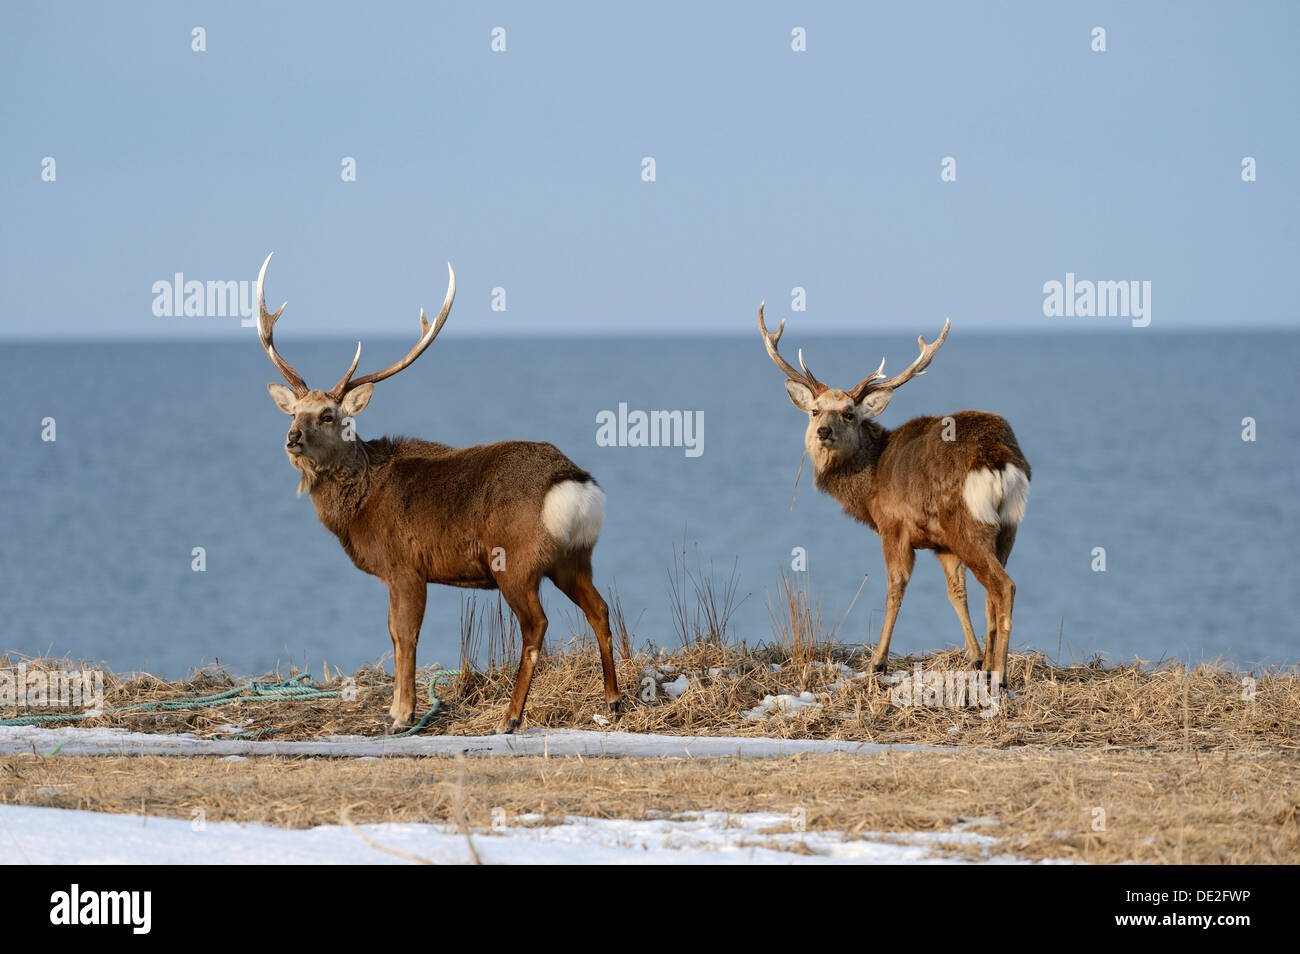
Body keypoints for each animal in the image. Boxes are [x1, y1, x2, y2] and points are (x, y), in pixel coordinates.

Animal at [256, 253, 622, 734]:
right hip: (572, 558)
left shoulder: (406, 565)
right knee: (600, 609)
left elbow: (404, 634)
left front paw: (402, 715)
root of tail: (572, 481)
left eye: (329, 414)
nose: (292, 438)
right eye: (295, 411)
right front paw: (397, 710)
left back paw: (511, 717)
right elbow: (395, 634)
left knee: (536, 626)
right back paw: (614, 700)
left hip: (515, 560)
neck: (361, 505)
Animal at [757, 305, 1031, 687]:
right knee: (993, 591)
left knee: (1004, 587)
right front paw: (976, 658)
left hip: (967, 524)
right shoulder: (942, 545)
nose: (823, 431)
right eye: (814, 410)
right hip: (1006, 527)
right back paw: (991, 667)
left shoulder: (894, 525)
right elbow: (956, 592)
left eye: (849, 414)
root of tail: (997, 458)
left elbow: (895, 589)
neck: (870, 485)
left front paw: (877, 662)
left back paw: (1001, 676)